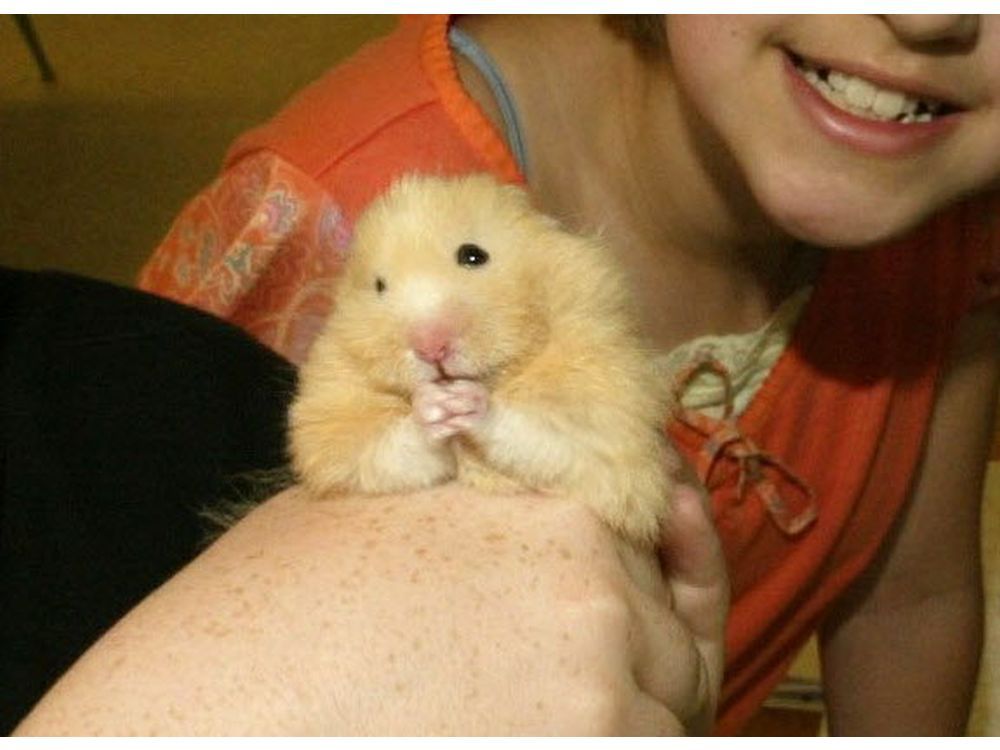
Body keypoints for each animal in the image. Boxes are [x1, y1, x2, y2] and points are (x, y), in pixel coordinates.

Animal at [289, 173, 676, 549]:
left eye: (473, 255)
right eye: (379, 286)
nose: (431, 347)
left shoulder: (607, 434)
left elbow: (544, 436)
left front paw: (466, 401)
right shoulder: (337, 440)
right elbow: (387, 451)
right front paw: (434, 404)